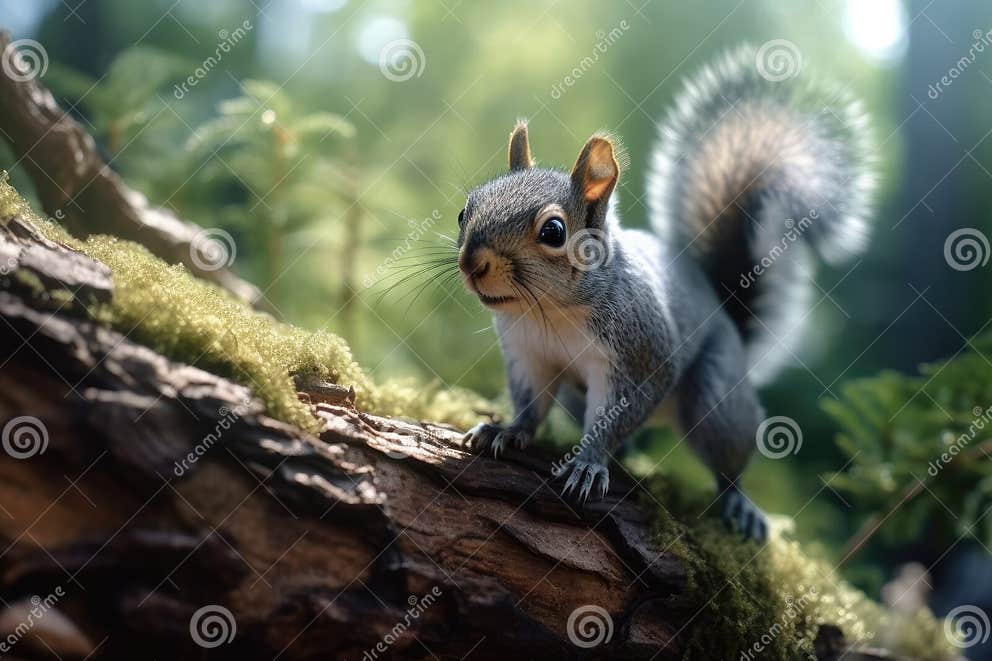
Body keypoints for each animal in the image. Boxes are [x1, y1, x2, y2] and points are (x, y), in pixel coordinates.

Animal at [454, 44, 874, 540]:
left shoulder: (641, 352)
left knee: (727, 454)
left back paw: (738, 502)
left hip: (715, 396)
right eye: (464, 211)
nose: (472, 263)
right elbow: (531, 403)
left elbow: (618, 412)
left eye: (553, 231)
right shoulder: (528, 354)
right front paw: (506, 430)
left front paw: (589, 463)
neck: (552, 313)